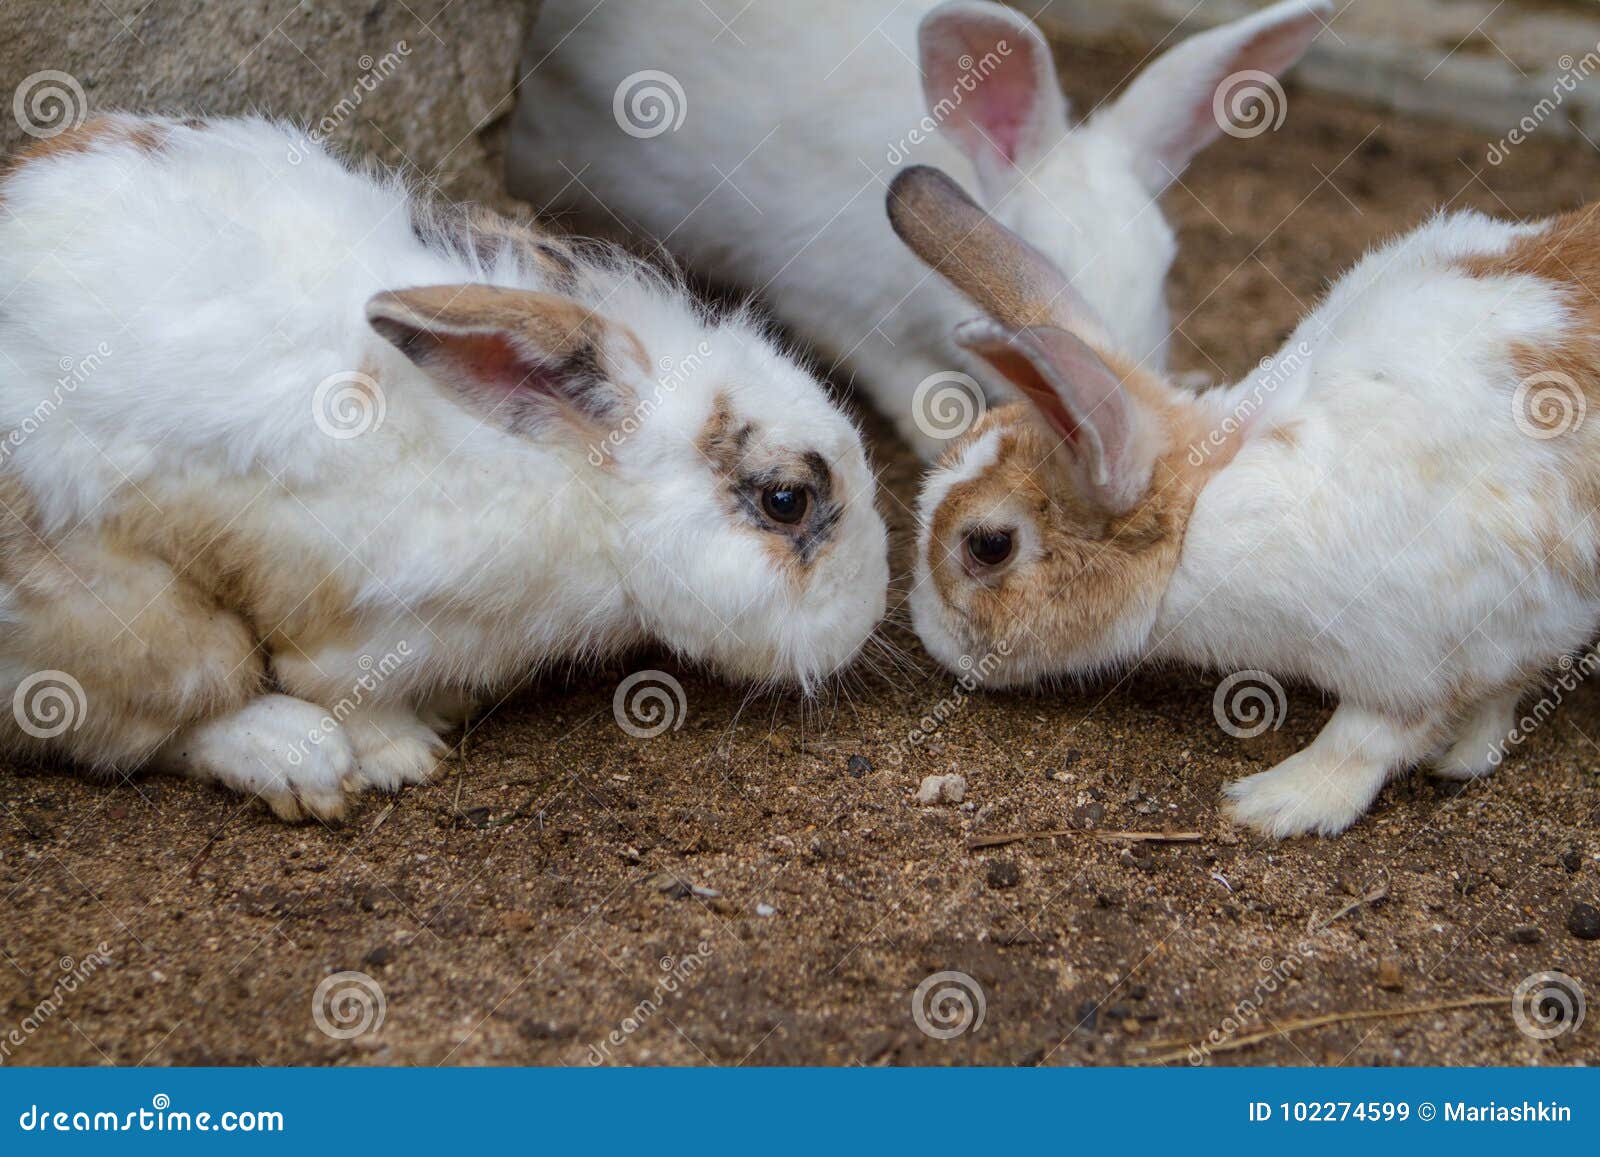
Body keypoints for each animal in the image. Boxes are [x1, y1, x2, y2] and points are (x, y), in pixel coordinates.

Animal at [0, 114, 889, 821]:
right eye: (786, 499)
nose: (870, 613)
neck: (582, 489)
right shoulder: (353, 622)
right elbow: (341, 689)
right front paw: (405, 755)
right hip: (122, 613)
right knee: (151, 721)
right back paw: (298, 758)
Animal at [887, 162, 1600, 838]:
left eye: (988, 545)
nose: (928, 636)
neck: (1200, 514)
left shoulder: (1420, 655)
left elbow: (1366, 740)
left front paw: (1275, 803)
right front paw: (1467, 755)